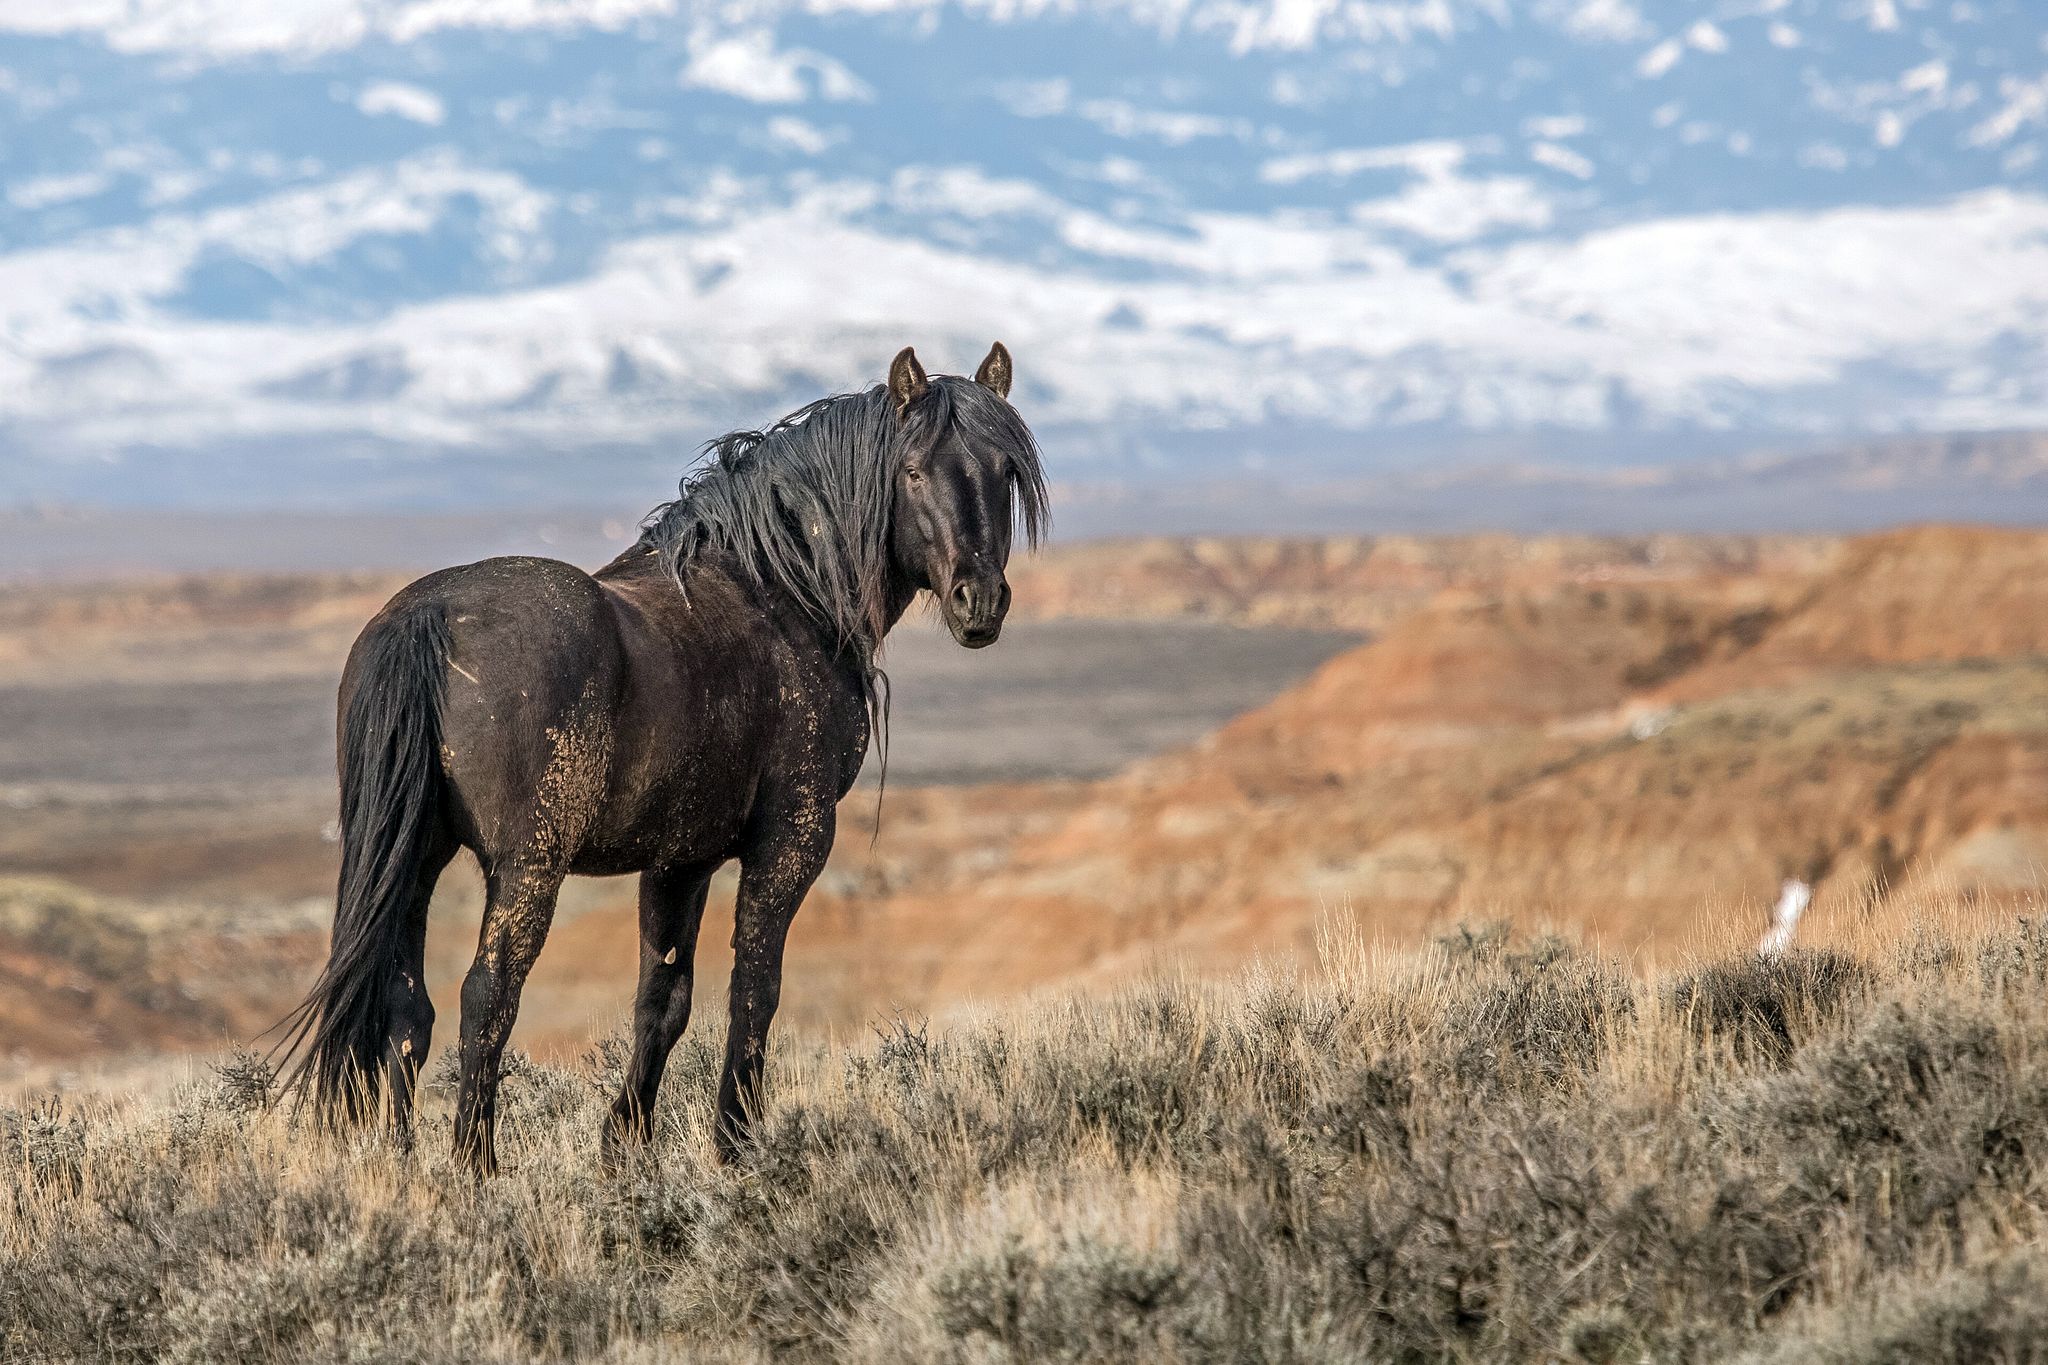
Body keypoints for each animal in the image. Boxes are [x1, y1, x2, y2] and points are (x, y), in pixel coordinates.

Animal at [277, 343, 1048, 1175]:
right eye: (912, 471)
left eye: (1003, 470)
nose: (980, 601)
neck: (781, 593)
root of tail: (428, 615)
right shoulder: (791, 842)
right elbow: (755, 989)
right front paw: (735, 1141)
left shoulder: (681, 860)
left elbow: (663, 1000)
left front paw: (626, 1141)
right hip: (526, 867)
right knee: (487, 995)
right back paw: (476, 1163)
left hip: (418, 856)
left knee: (404, 1005)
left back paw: (400, 1158)